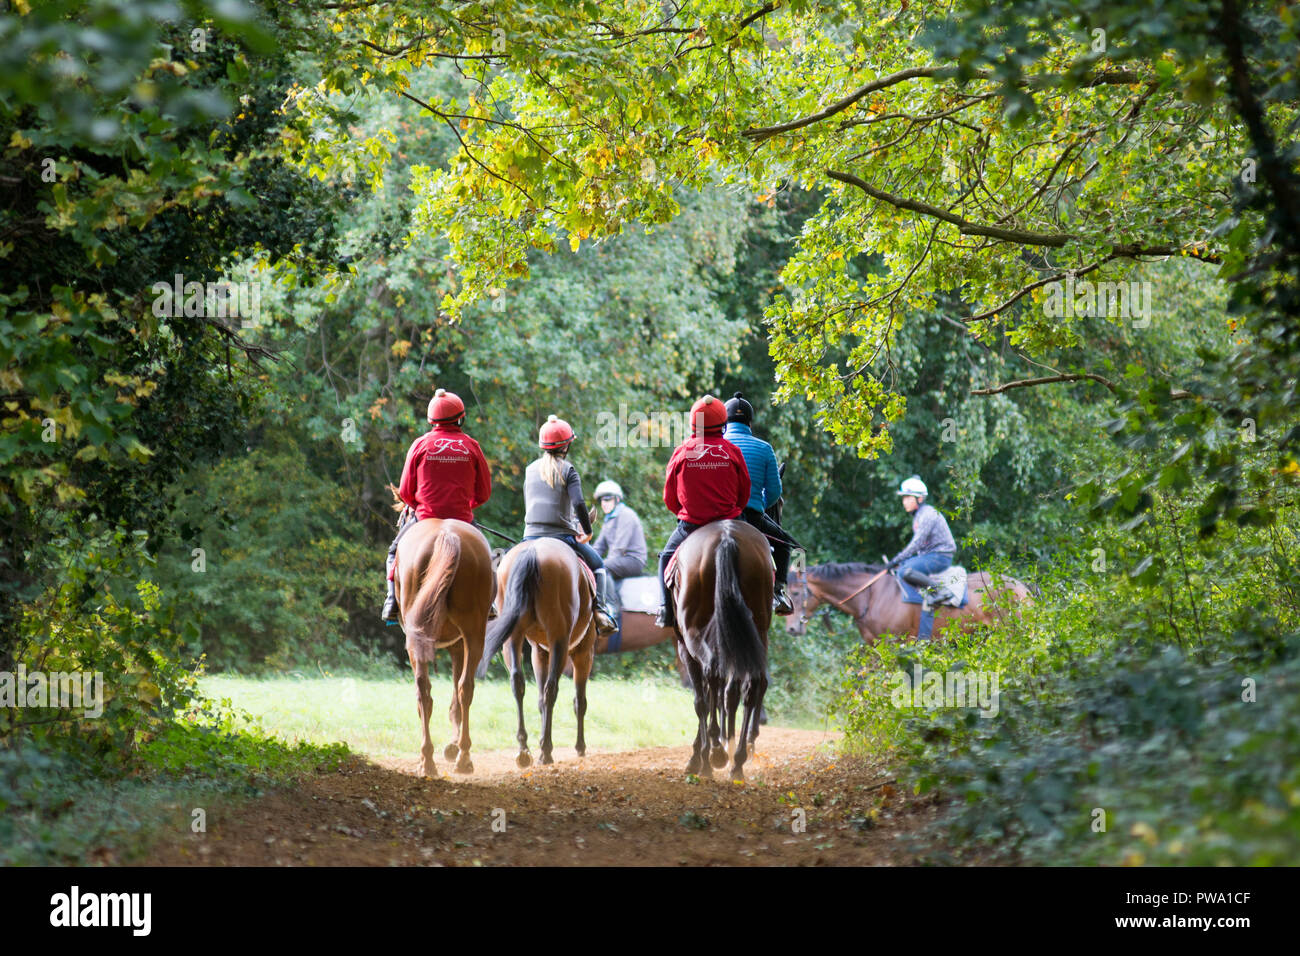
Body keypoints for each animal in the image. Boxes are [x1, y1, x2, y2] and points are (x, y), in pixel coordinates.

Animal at [392, 517, 495, 777]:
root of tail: (447, 534)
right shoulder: (458, 645)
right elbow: (456, 697)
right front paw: (453, 745)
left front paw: (451, 746)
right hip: (471, 634)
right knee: (460, 688)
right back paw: (451, 758)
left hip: (424, 639)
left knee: (431, 691)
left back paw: (439, 759)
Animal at [478, 538, 598, 768]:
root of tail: (533, 552)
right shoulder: (583, 653)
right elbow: (579, 701)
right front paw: (580, 747)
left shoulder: (539, 653)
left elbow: (540, 699)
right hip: (560, 639)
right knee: (552, 690)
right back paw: (546, 752)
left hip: (513, 637)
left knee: (518, 683)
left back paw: (524, 750)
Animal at [667, 519, 772, 782]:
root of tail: (726, 537)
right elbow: (725, 694)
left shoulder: (686, 648)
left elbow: (702, 699)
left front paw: (699, 756)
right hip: (756, 629)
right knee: (751, 684)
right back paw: (737, 762)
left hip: (693, 635)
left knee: (712, 676)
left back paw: (714, 753)